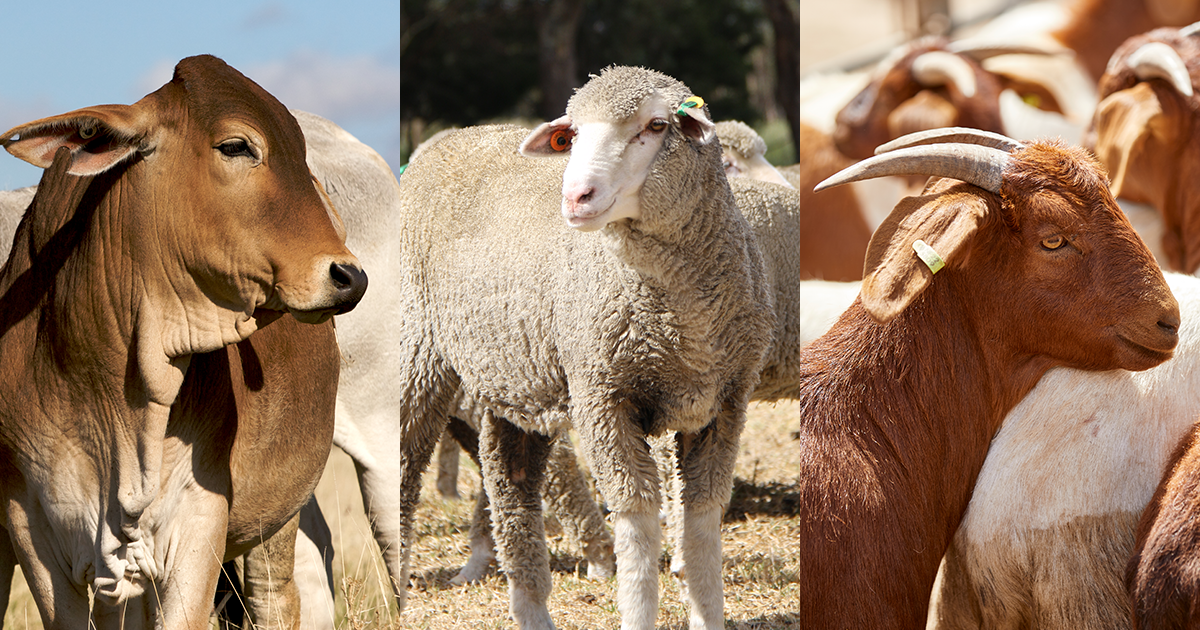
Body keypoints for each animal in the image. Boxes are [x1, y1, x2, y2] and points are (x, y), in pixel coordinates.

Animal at [0, 54, 366, 629]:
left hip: (278, 518)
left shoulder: (198, 522)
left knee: (277, 597)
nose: (349, 275)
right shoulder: (33, 533)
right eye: (236, 146)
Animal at [379, 66, 777, 630]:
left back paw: (529, 604)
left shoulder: (723, 405)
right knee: (405, 465)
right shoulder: (602, 396)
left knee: (511, 485)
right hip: (419, 351)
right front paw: (637, 609)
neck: (682, 322)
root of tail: (451, 140)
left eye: (656, 126)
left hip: (515, 375)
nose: (576, 197)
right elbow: (636, 516)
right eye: (571, 136)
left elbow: (702, 518)